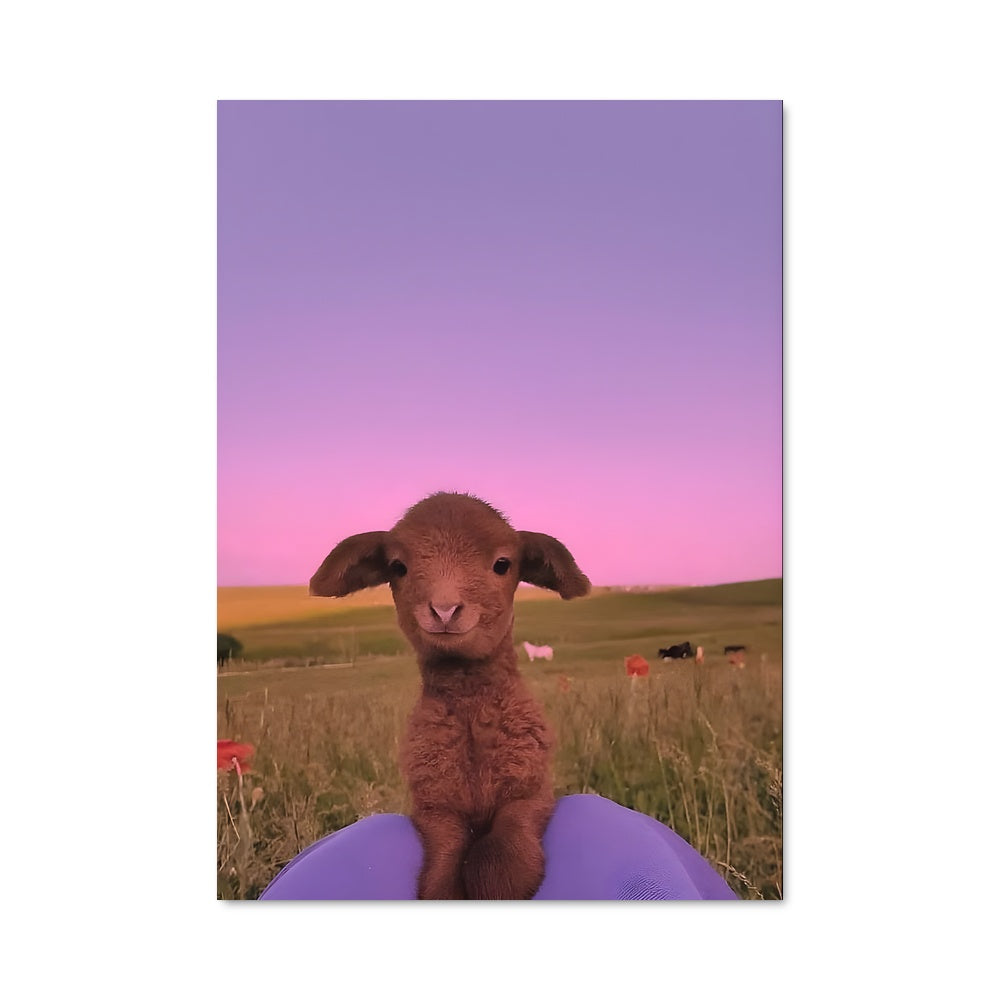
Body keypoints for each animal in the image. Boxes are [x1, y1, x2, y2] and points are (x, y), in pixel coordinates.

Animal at [308, 492, 591, 900]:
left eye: (502, 564)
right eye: (398, 567)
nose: (444, 609)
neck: (471, 713)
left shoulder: (530, 792)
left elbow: (499, 856)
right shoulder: (434, 807)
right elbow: (444, 861)